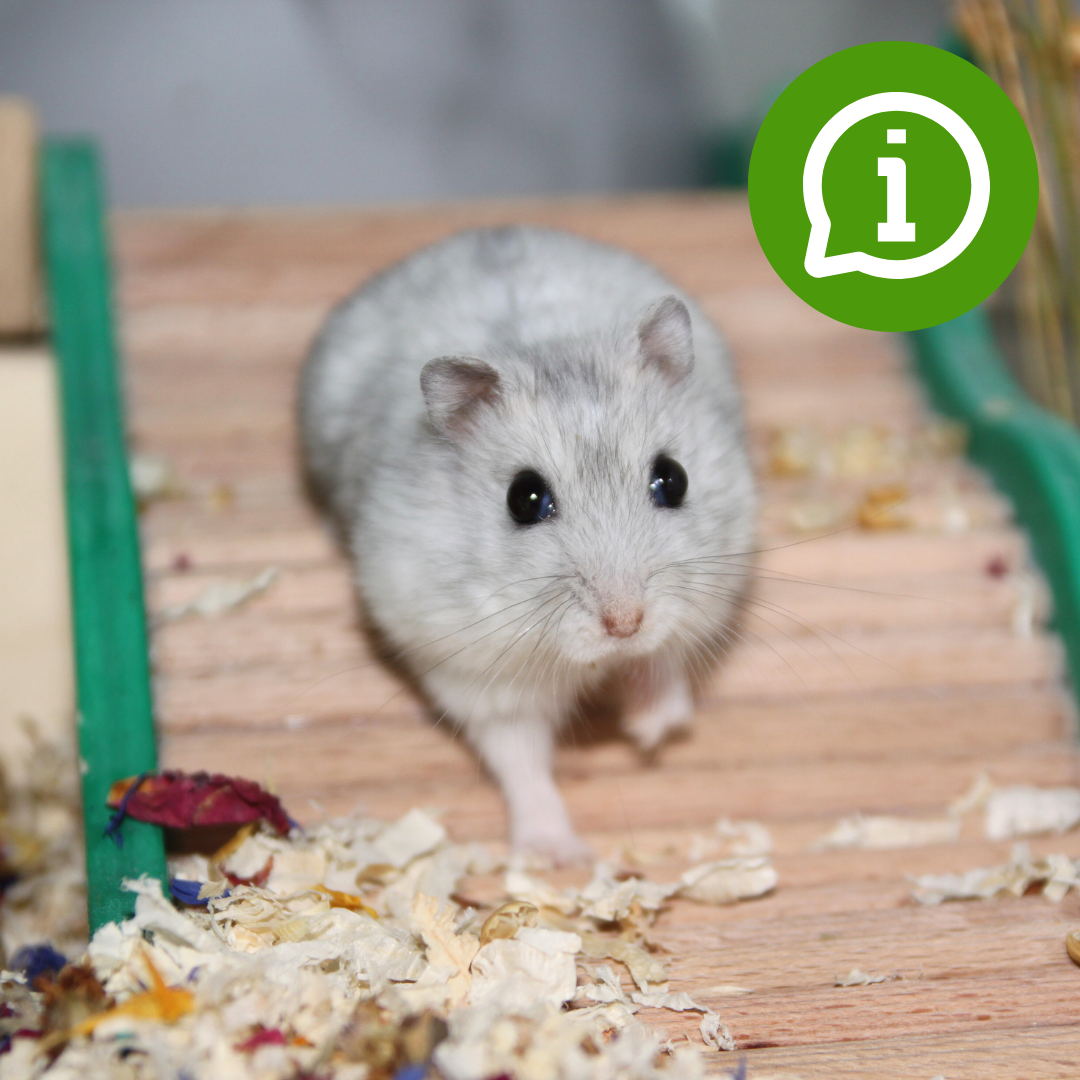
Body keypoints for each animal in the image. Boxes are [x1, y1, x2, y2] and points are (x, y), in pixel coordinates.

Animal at [299, 225, 755, 863]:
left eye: (674, 479)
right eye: (524, 499)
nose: (624, 624)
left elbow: (663, 662)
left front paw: (649, 732)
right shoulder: (478, 673)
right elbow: (521, 761)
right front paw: (562, 853)